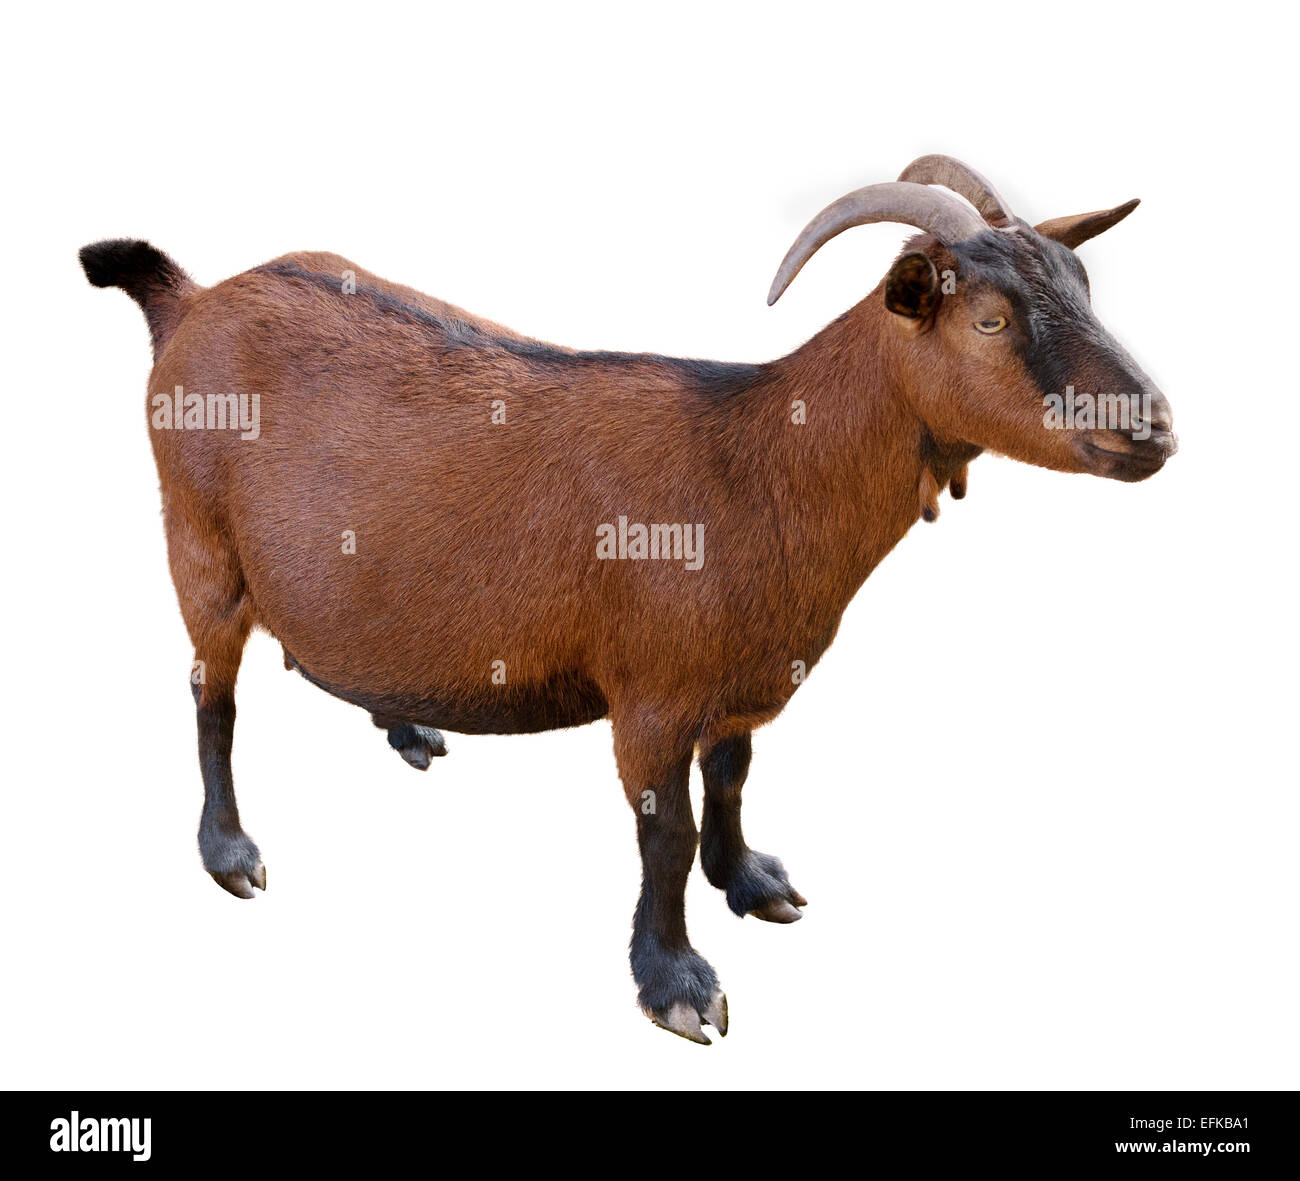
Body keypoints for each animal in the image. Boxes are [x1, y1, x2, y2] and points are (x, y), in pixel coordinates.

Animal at [81, 155, 1176, 1044]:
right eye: (990, 319)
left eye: (1084, 288)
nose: (1155, 427)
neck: (755, 466)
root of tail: (193, 301)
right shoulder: (649, 695)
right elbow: (666, 830)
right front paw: (677, 982)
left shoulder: (739, 682)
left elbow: (731, 777)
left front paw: (753, 880)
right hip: (200, 545)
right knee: (212, 695)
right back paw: (230, 849)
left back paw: (409, 724)